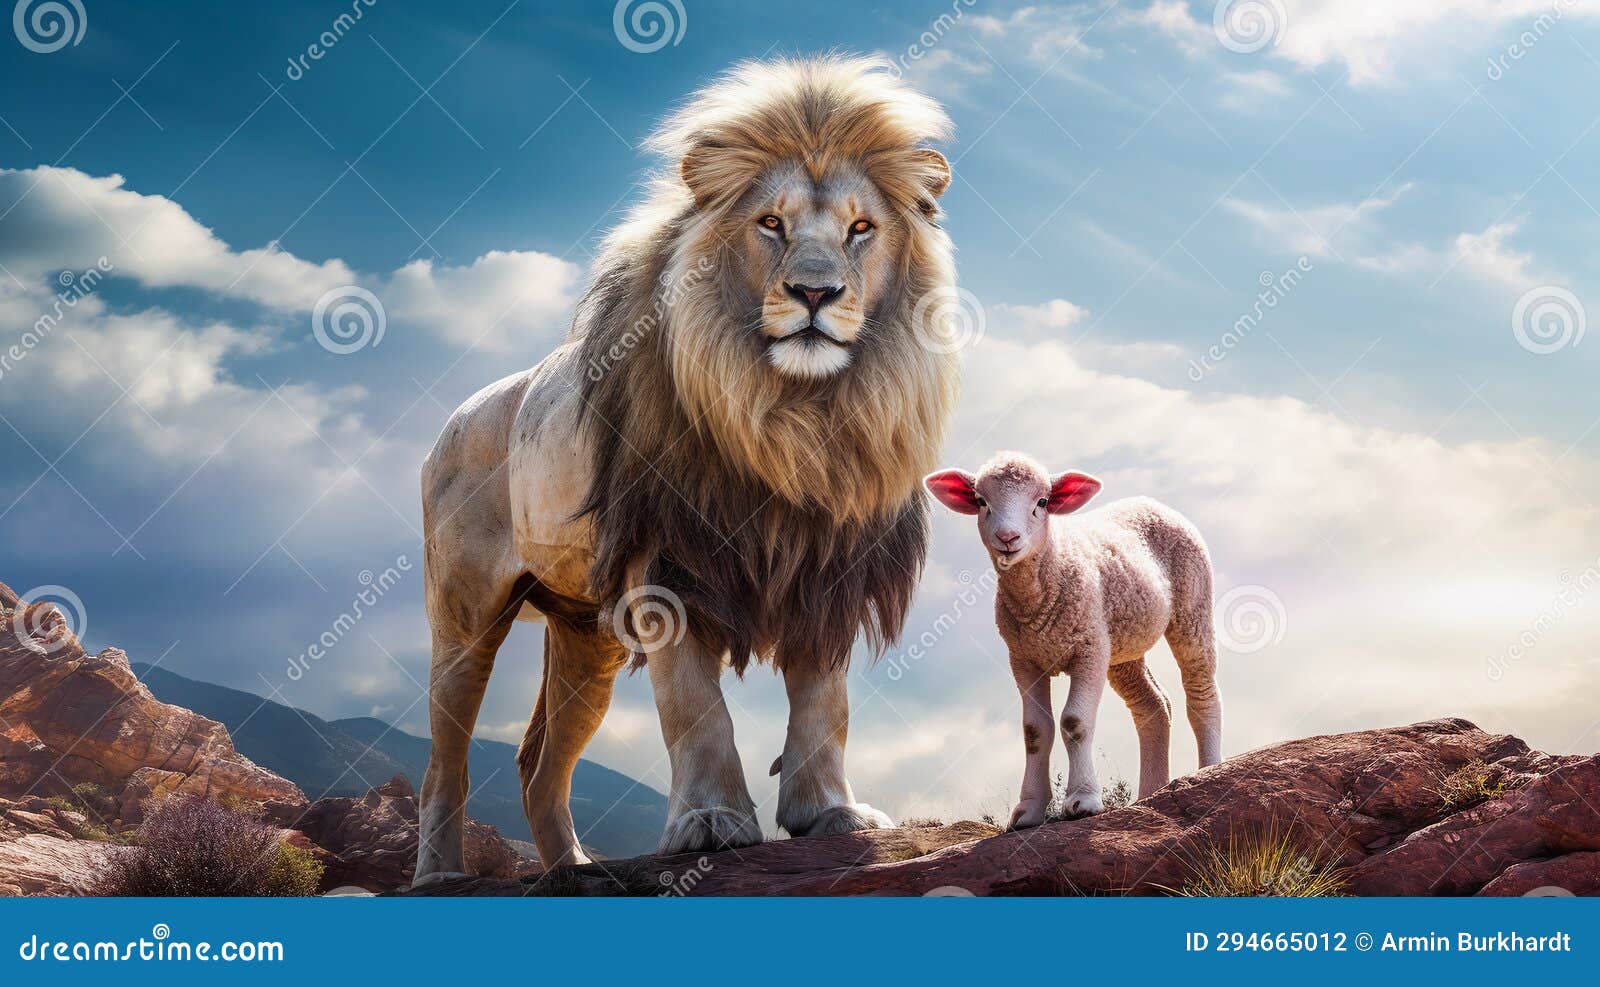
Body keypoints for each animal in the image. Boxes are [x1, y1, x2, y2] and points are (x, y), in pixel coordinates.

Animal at [414, 56, 960, 881]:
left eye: (862, 228)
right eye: (771, 223)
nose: (814, 292)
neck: (793, 415)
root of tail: (451, 420)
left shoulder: (830, 569)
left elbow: (825, 703)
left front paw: (828, 812)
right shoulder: (669, 560)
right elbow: (695, 705)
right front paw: (710, 822)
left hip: (585, 636)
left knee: (539, 764)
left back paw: (575, 869)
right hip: (465, 615)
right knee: (445, 758)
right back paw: (442, 873)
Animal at [925, 452, 1222, 830]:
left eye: (1042, 502)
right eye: (981, 501)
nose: (1008, 536)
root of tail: (1150, 502)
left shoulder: (1088, 650)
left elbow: (1074, 722)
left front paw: (1082, 801)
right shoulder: (1023, 658)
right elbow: (1035, 731)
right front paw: (1029, 810)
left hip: (1191, 606)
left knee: (1201, 692)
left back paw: (1210, 771)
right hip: (1120, 648)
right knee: (1153, 705)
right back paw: (1150, 795)